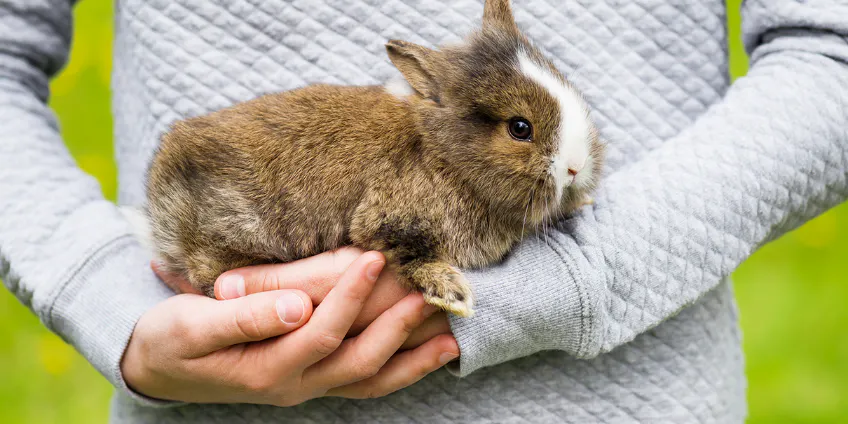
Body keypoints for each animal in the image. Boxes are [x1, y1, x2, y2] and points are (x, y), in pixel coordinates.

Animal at [141, 0, 605, 317]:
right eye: (520, 128)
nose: (576, 167)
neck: (442, 154)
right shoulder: (390, 220)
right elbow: (411, 254)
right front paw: (452, 296)